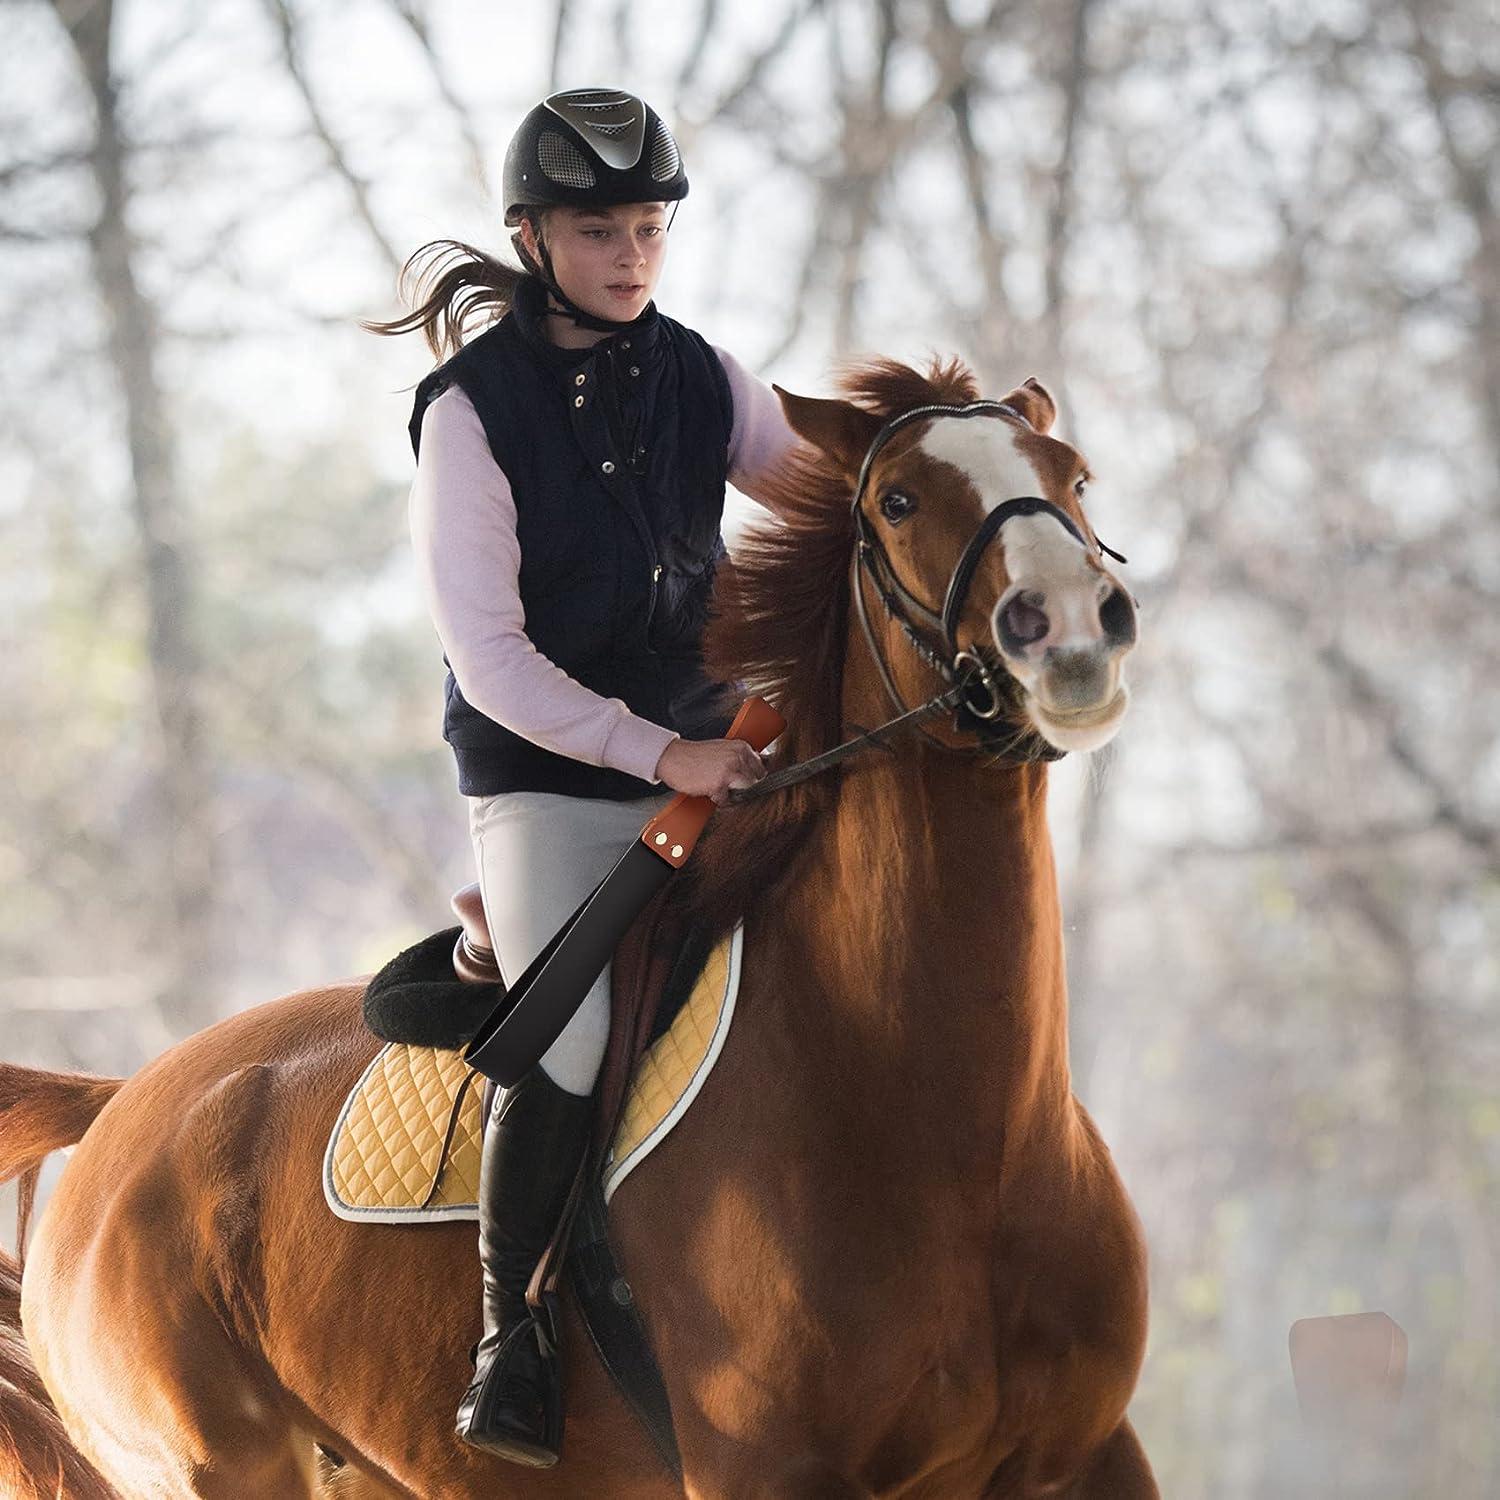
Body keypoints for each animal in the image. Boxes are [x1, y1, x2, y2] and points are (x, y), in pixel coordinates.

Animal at [0, 356, 1157, 1499]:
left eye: (1074, 475)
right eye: (899, 500)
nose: (1069, 628)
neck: (956, 1134)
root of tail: (124, 1104)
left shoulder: (1090, 1456)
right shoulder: (769, 1472)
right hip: (214, 1468)